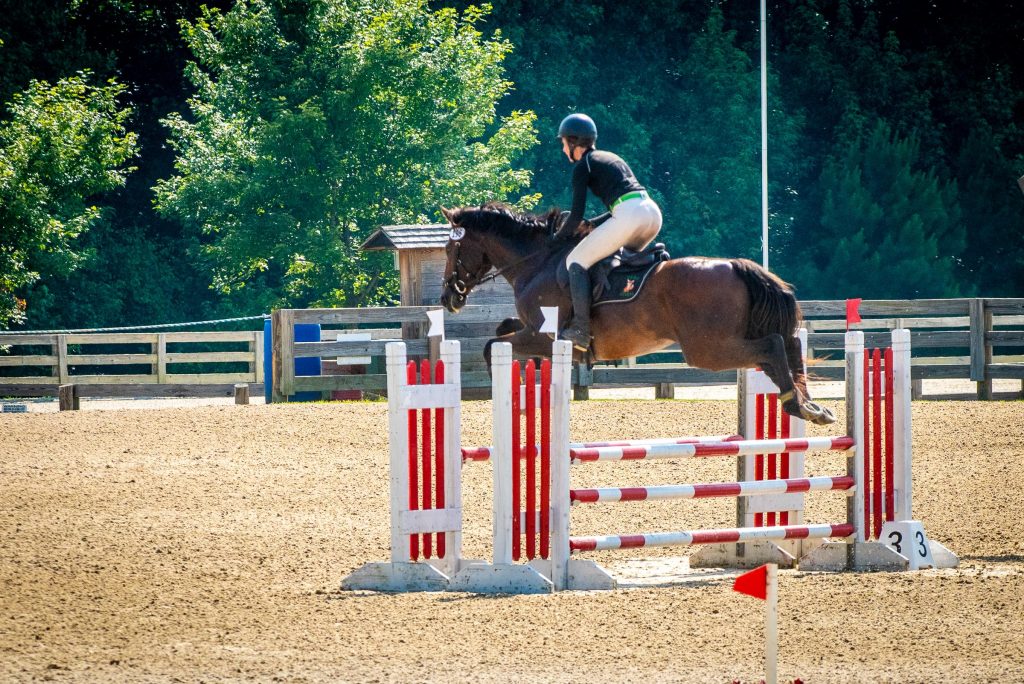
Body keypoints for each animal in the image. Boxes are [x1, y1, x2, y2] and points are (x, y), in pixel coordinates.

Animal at [439, 202, 836, 425]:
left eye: (450, 249)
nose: (448, 297)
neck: (537, 261)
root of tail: (736, 265)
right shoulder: (533, 332)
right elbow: (501, 329)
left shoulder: (541, 334)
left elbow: (492, 345)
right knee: (784, 348)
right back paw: (811, 407)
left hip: (708, 349)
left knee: (773, 345)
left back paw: (797, 405)